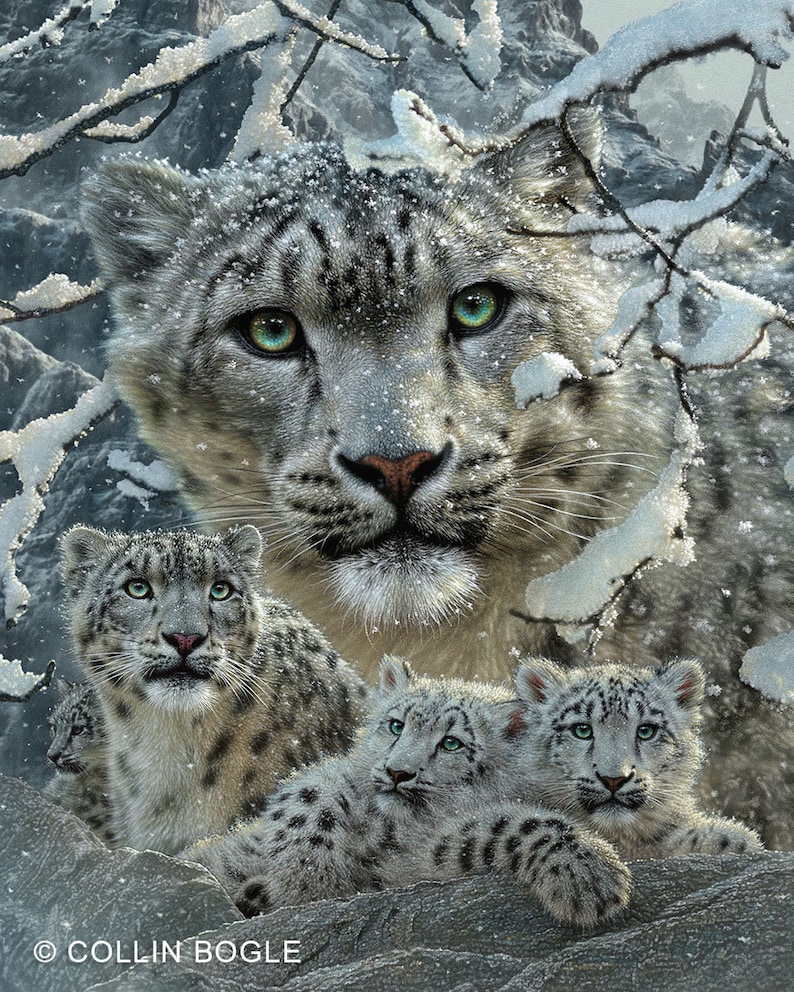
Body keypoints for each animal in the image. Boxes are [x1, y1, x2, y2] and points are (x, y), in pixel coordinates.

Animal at [185, 655, 632, 929]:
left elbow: (513, 824)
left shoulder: (424, 855)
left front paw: (593, 876)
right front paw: (308, 881)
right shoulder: (333, 778)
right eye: (396, 724)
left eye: (451, 743)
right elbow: (309, 798)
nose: (397, 772)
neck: (386, 831)